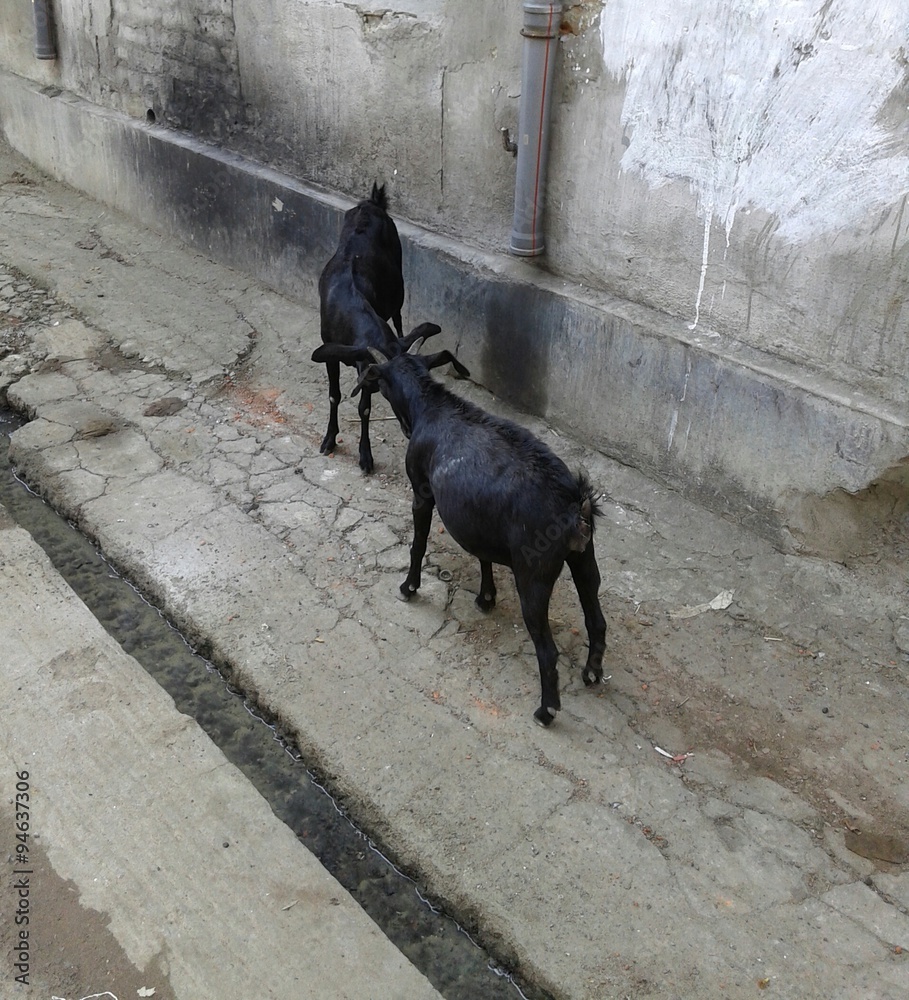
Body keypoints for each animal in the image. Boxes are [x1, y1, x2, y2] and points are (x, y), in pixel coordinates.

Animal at [314, 182, 420, 472]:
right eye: (387, 389)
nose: (410, 430)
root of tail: (372, 202)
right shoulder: (332, 352)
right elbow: (334, 395)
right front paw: (329, 439)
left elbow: (364, 408)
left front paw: (365, 456)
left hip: (399, 283)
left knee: (398, 315)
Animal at [353, 343, 607, 726]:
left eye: (379, 380)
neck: (432, 408)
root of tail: (574, 505)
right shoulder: (476, 519)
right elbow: (481, 554)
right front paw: (486, 598)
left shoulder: (422, 491)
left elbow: (418, 544)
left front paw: (409, 587)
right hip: (584, 560)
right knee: (597, 620)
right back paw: (591, 672)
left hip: (533, 576)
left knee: (547, 651)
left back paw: (546, 711)